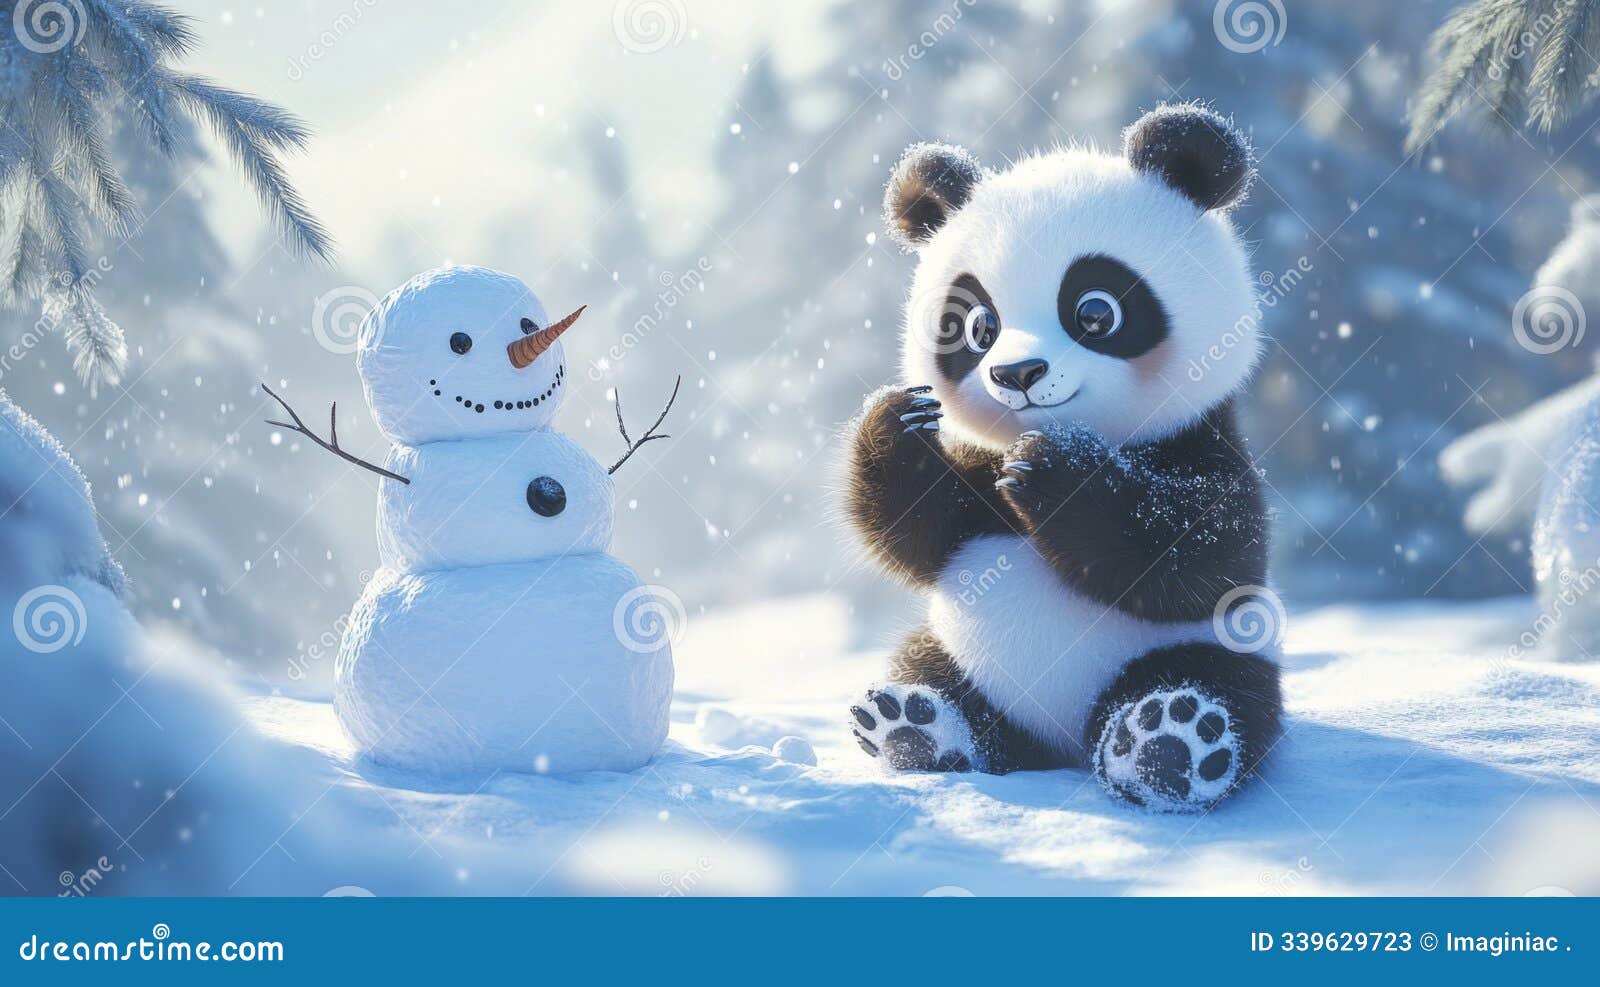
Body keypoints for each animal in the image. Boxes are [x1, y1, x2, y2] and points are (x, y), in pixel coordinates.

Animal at [843, 103, 1282, 812]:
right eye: (977, 326)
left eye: (1094, 312)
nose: (1018, 374)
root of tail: (1060, 746)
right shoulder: (974, 481)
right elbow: (915, 536)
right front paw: (899, 421)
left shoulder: (1204, 441)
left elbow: (1203, 549)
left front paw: (1055, 469)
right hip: (957, 647)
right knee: (934, 675)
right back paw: (916, 728)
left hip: (1216, 646)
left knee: (1223, 692)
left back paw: (1165, 749)